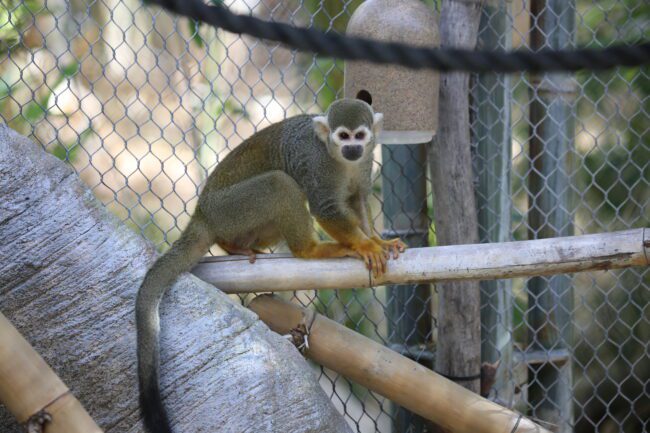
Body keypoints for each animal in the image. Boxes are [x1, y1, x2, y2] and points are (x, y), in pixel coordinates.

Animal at [136, 97, 406, 433]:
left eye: (360, 136)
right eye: (343, 136)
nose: (353, 149)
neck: (339, 160)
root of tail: (201, 214)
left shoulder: (366, 162)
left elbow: (358, 200)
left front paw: (377, 241)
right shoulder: (317, 164)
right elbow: (325, 208)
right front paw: (366, 245)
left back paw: (233, 246)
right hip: (229, 208)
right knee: (281, 183)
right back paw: (310, 250)